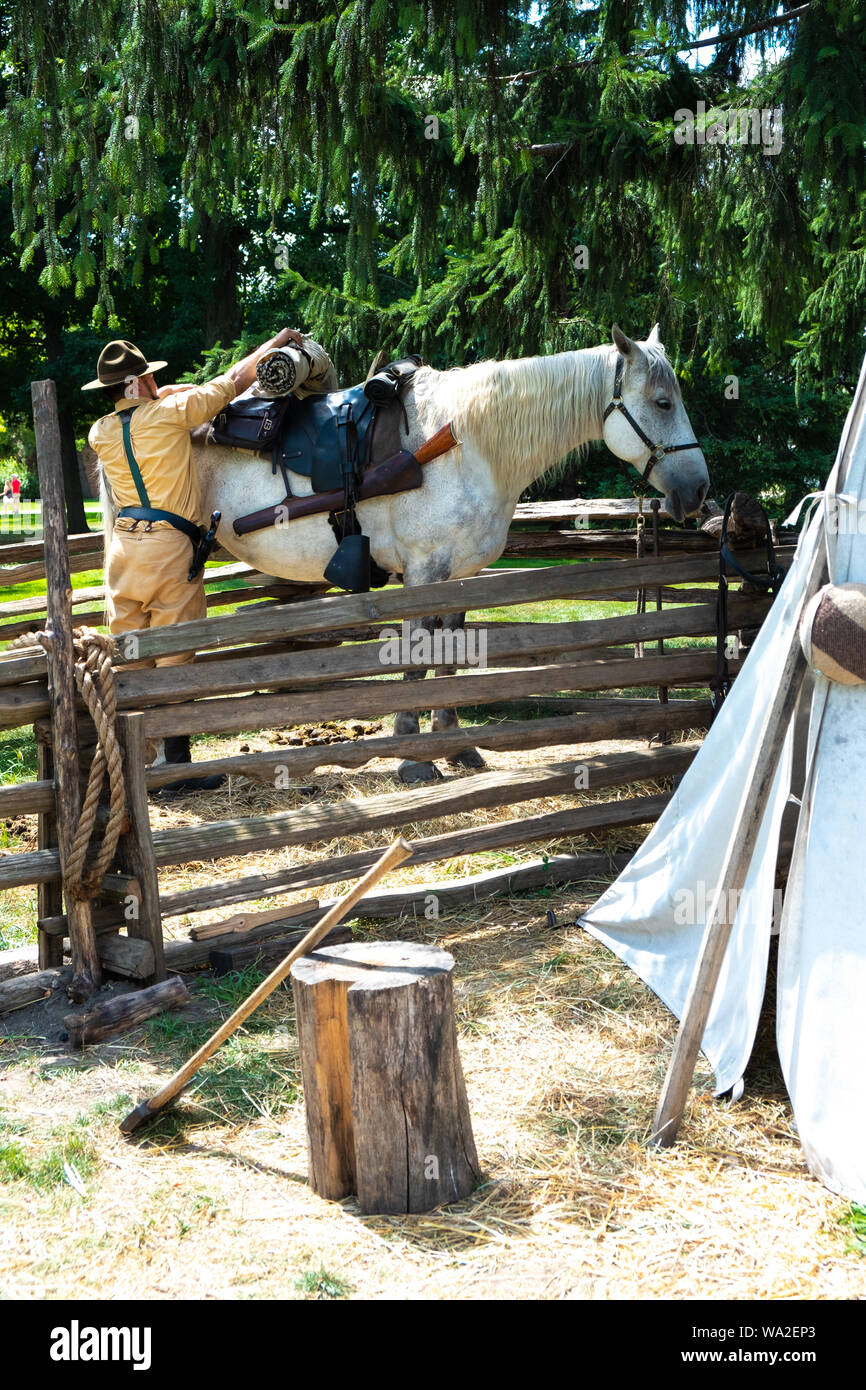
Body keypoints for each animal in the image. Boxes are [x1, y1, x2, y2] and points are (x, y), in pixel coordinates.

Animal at [103, 325, 709, 783]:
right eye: (661, 402)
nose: (698, 491)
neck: (465, 441)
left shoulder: (462, 576)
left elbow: (451, 655)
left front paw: (456, 745)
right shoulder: (424, 571)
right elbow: (417, 659)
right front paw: (412, 758)